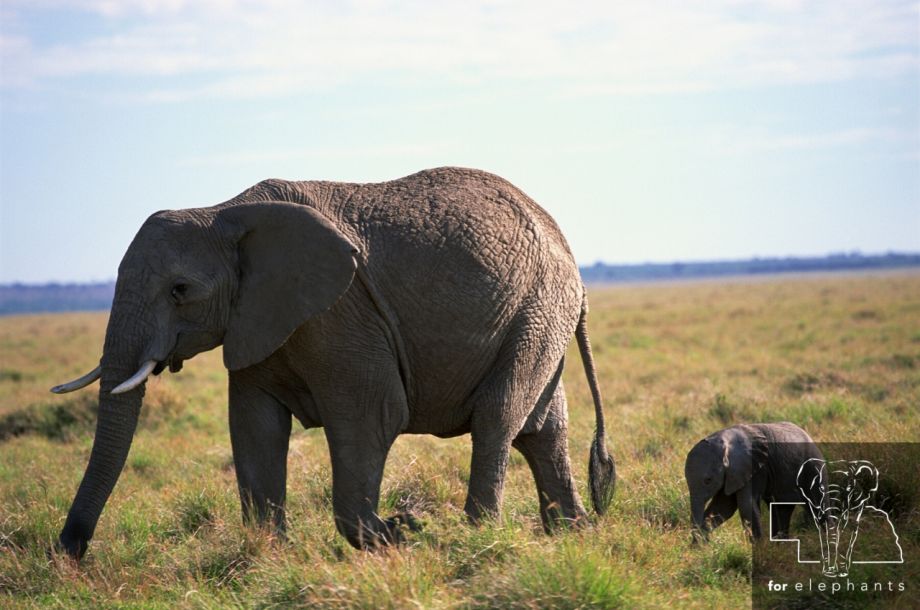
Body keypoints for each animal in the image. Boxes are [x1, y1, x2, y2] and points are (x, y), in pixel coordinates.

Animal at [50, 166, 616, 559]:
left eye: (180, 291)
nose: (68, 551)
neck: (224, 211)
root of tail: (566, 245)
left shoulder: (340, 314)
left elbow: (371, 417)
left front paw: (401, 534)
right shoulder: (257, 319)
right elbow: (254, 425)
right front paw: (270, 556)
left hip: (536, 308)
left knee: (498, 419)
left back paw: (478, 535)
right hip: (540, 316)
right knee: (544, 429)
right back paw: (573, 533)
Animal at [684, 422, 823, 541]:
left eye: (708, 480)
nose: (705, 542)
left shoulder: (754, 468)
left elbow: (745, 504)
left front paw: (758, 545)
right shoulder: (733, 474)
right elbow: (723, 507)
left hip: (813, 466)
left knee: (817, 503)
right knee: (780, 508)